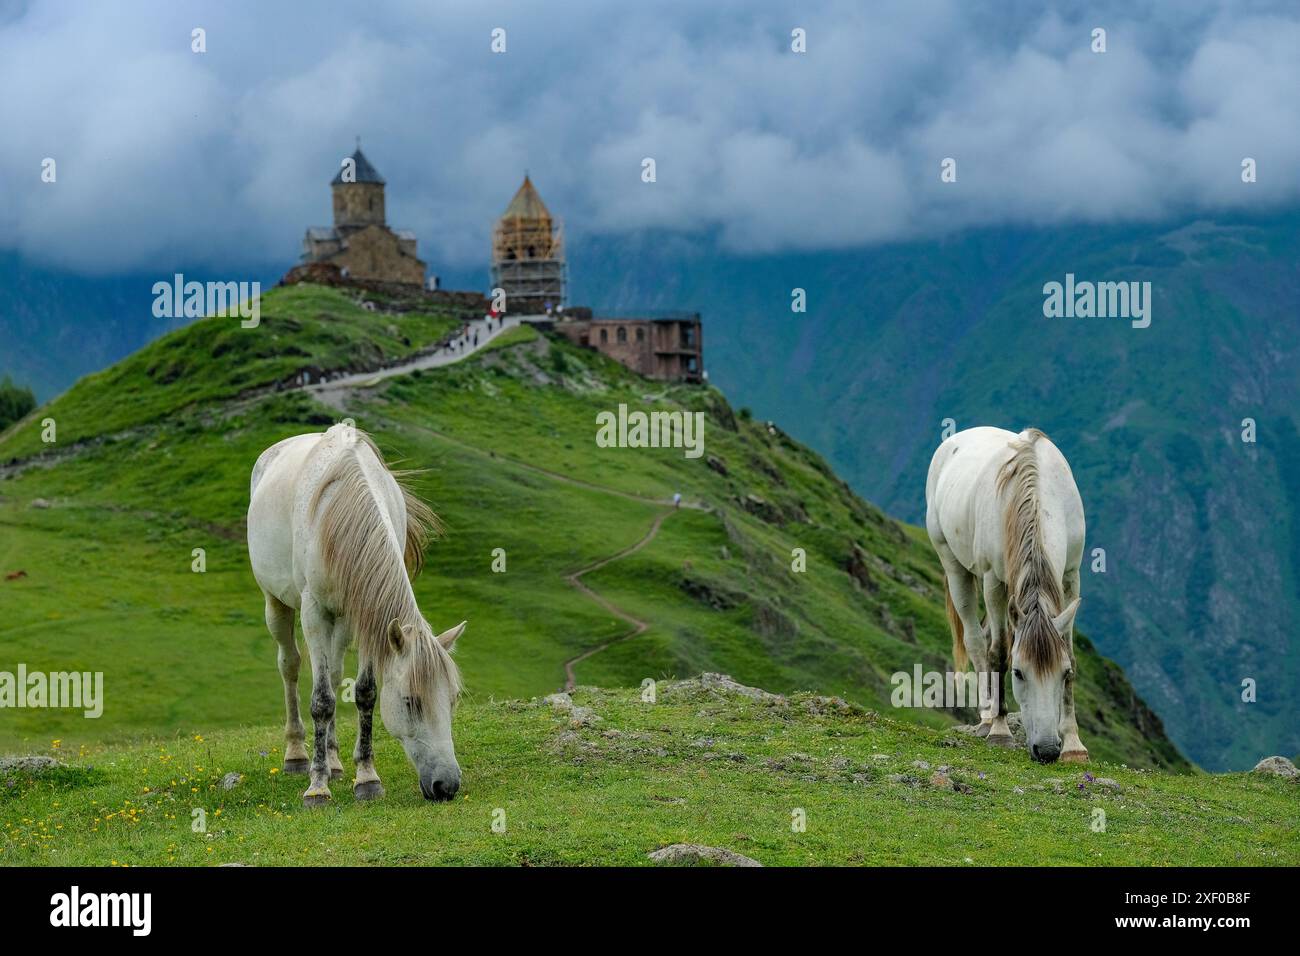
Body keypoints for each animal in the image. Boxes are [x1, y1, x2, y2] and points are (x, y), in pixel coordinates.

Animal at [247, 423, 466, 805]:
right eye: (410, 702)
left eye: (452, 698)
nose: (447, 785)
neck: (339, 511)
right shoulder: (314, 612)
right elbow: (321, 700)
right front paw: (317, 787)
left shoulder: (366, 617)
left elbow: (363, 692)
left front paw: (366, 777)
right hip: (276, 603)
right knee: (290, 666)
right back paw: (298, 755)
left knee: (334, 675)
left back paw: (334, 762)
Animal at [925, 427, 1087, 763]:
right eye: (1019, 673)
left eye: (1063, 672)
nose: (1047, 750)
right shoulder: (993, 581)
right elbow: (998, 652)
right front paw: (1000, 731)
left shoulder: (1071, 575)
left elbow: (1069, 651)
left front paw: (1074, 745)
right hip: (954, 565)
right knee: (976, 641)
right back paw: (987, 717)